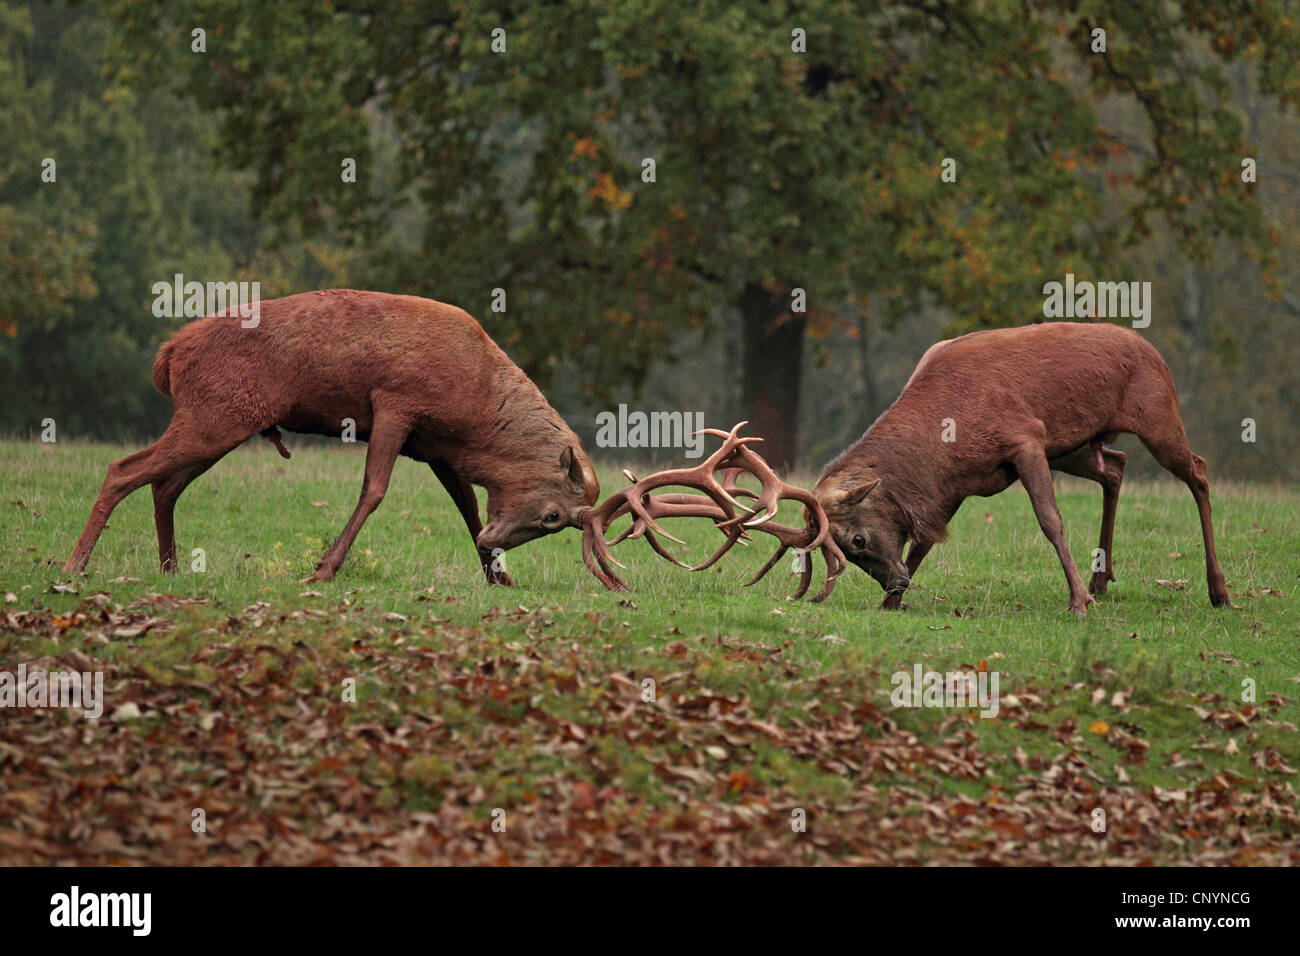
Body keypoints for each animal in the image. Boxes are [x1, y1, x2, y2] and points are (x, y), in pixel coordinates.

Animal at [63, 290, 603, 584]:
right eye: (553, 516)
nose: (497, 544)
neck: (473, 417)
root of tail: (170, 354)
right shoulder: (395, 404)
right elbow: (375, 490)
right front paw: (323, 568)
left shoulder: (435, 448)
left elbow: (467, 505)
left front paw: (499, 576)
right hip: (211, 417)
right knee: (123, 469)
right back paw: (74, 564)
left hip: (220, 423)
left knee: (164, 484)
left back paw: (171, 568)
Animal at [800, 321, 1233, 616]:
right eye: (847, 549)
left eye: (857, 540)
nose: (895, 581)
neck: (947, 440)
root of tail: (1155, 353)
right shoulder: (956, 484)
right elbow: (925, 541)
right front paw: (894, 601)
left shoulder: (1025, 438)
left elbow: (1050, 520)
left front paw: (1078, 600)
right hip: (1071, 447)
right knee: (1115, 465)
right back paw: (1101, 578)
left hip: (1158, 417)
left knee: (1198, 471)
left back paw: (1219, 591)